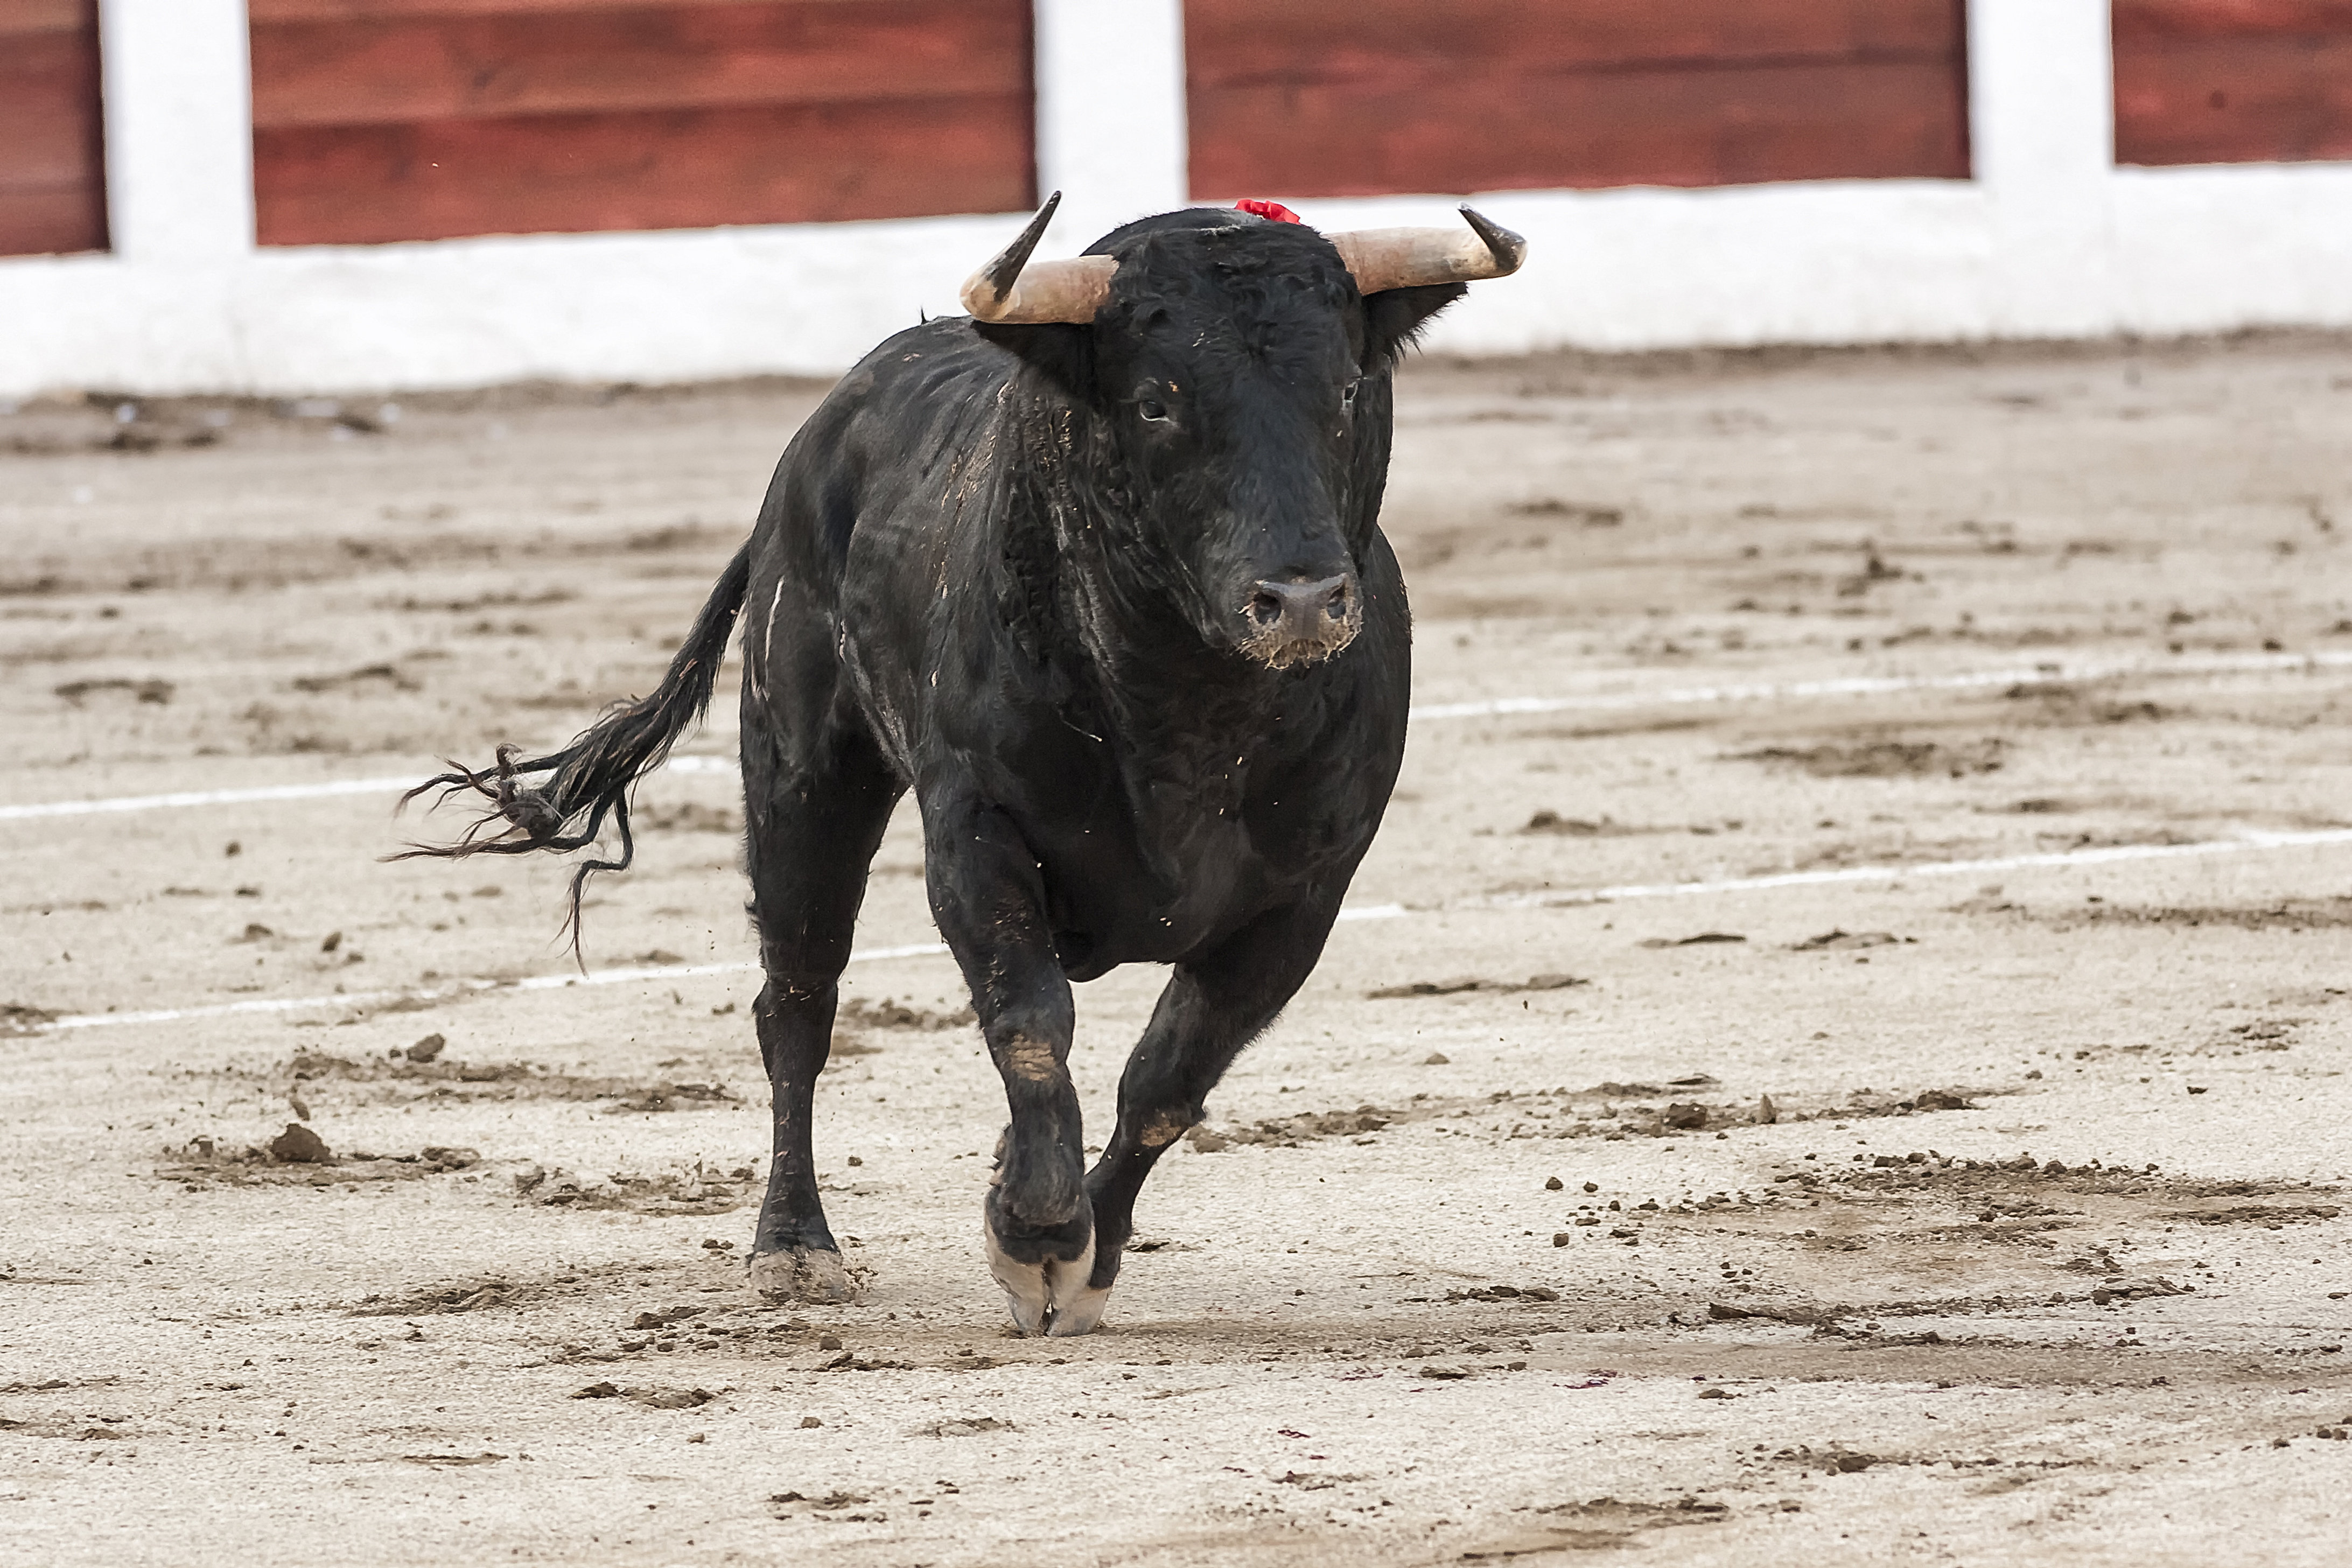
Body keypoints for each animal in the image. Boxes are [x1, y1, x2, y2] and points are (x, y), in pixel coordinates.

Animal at [399, 195, 1525, 1335]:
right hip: (802, 779)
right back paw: (794, 1247)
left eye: (1343, 390)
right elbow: (1029, 1021)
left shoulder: (1304, 892)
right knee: (798, 1001)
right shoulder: (974, 832)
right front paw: (1035, 1238)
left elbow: (1169, 1074)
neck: (1191, 711)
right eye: (1156, 404)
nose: (1298, 602)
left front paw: (1086, 1252)